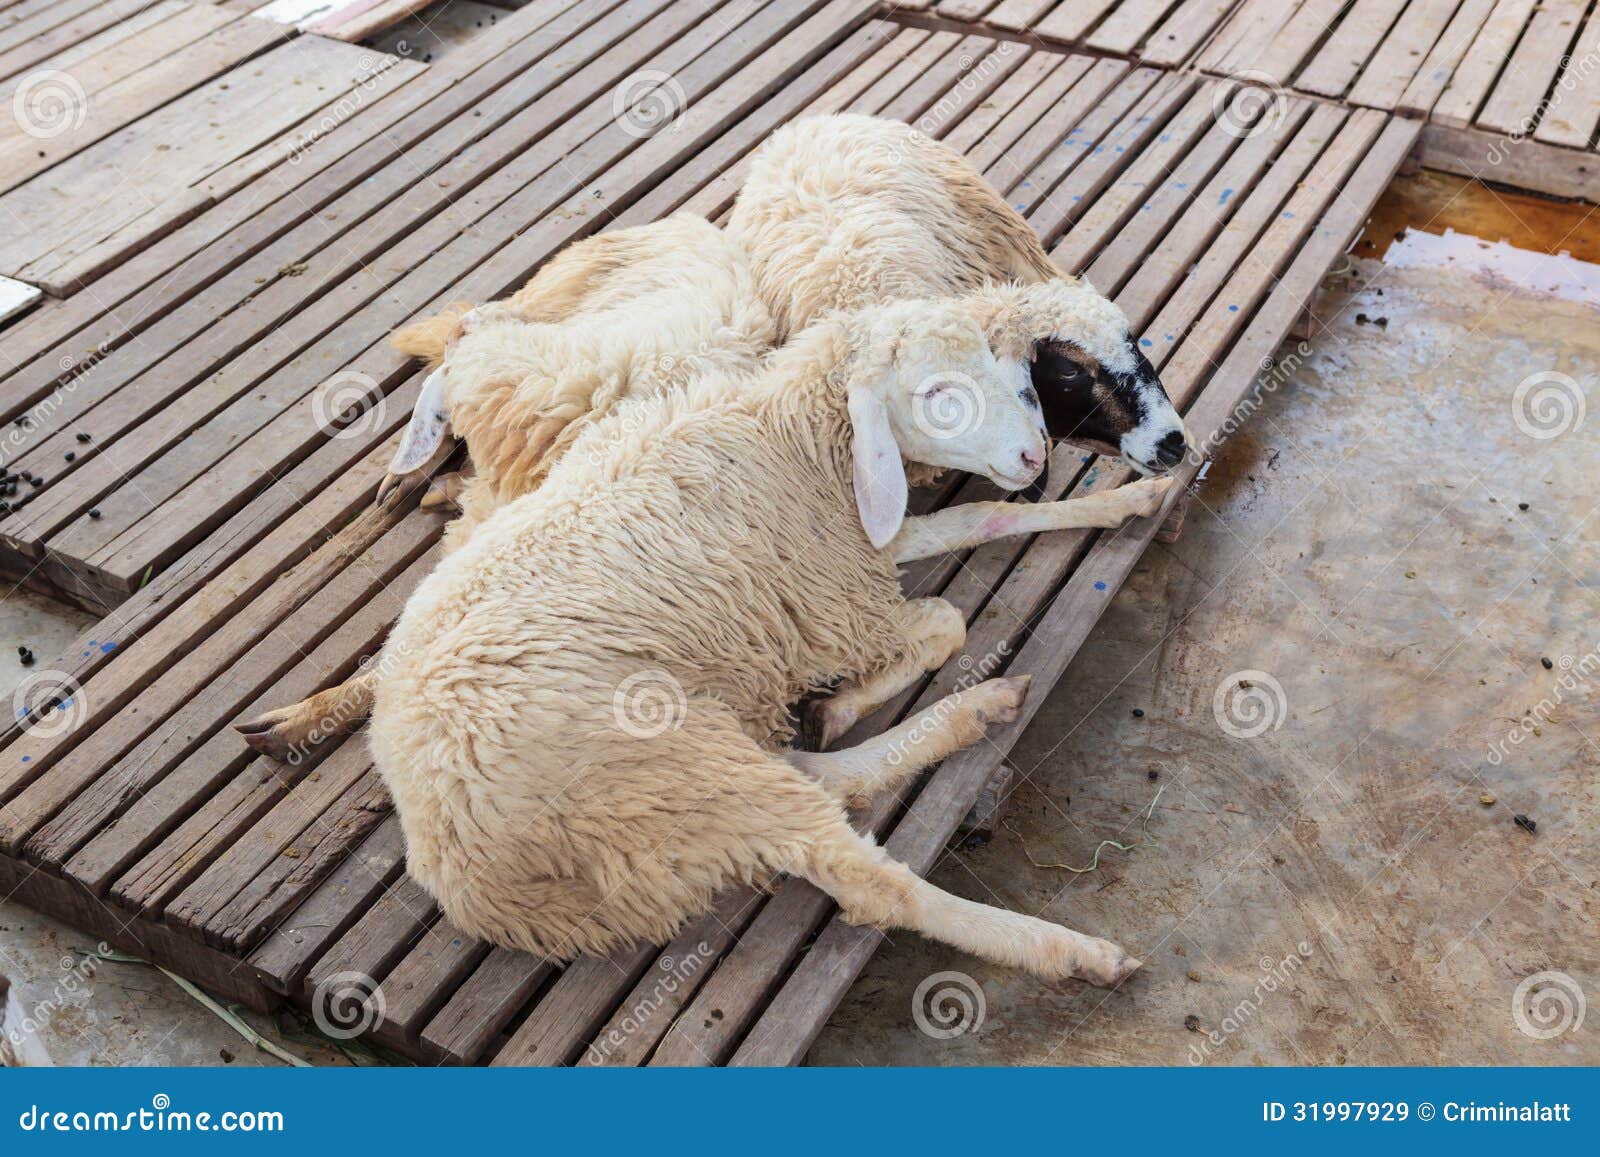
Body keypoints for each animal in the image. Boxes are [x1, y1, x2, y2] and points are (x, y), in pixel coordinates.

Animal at [363, 282, 1172, 986]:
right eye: (935, 393)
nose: (1035, 456)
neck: (793, 441)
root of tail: (458, 878)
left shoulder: (860, 539)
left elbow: (982, 516)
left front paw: (1127, 501)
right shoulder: (833, 599)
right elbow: (945, 622)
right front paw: (850, 695)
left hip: (685, 771)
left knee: (813, 775)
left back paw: (972, 709)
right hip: (656, 764)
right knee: (866, 879)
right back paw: (1072, 950)